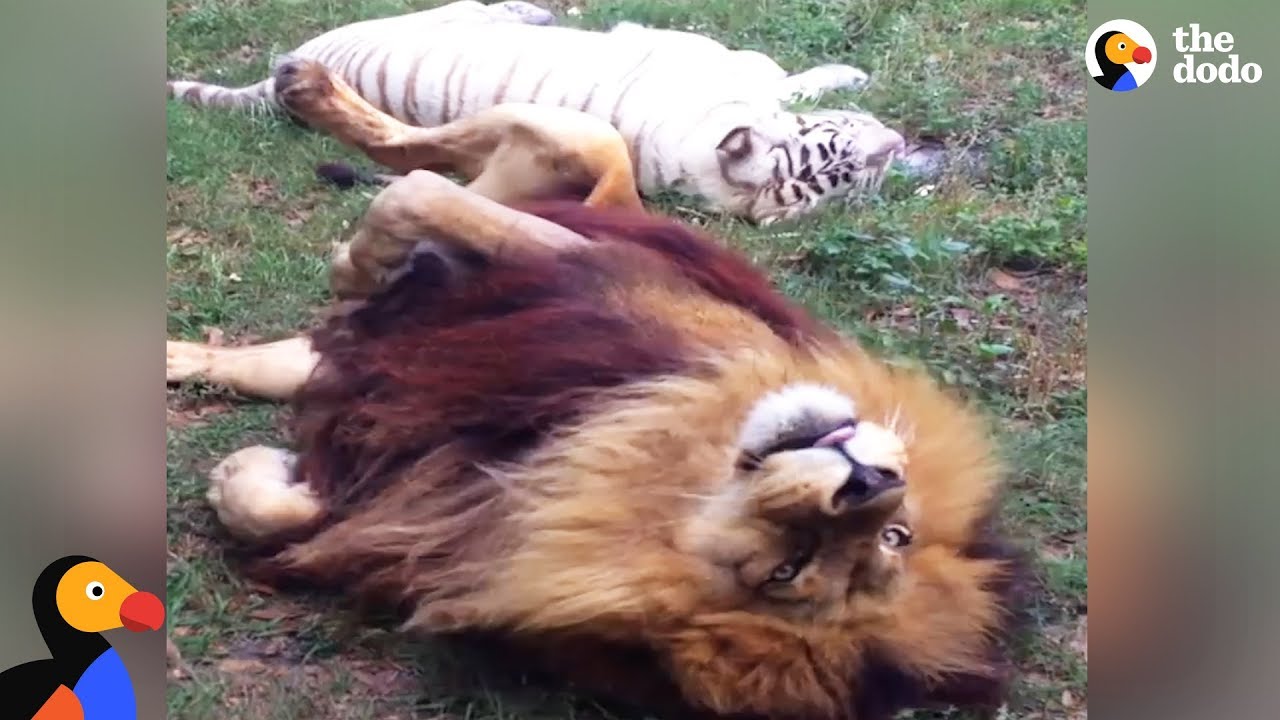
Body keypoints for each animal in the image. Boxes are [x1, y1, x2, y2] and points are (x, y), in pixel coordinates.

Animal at [166, 0, 907, 224]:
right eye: (841, 147)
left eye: (855, 183)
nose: (898, 144)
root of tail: (269, 84)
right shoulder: (723, 62)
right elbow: (788, 80)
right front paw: (846, 76)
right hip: (432, 16)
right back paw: (533, 10)